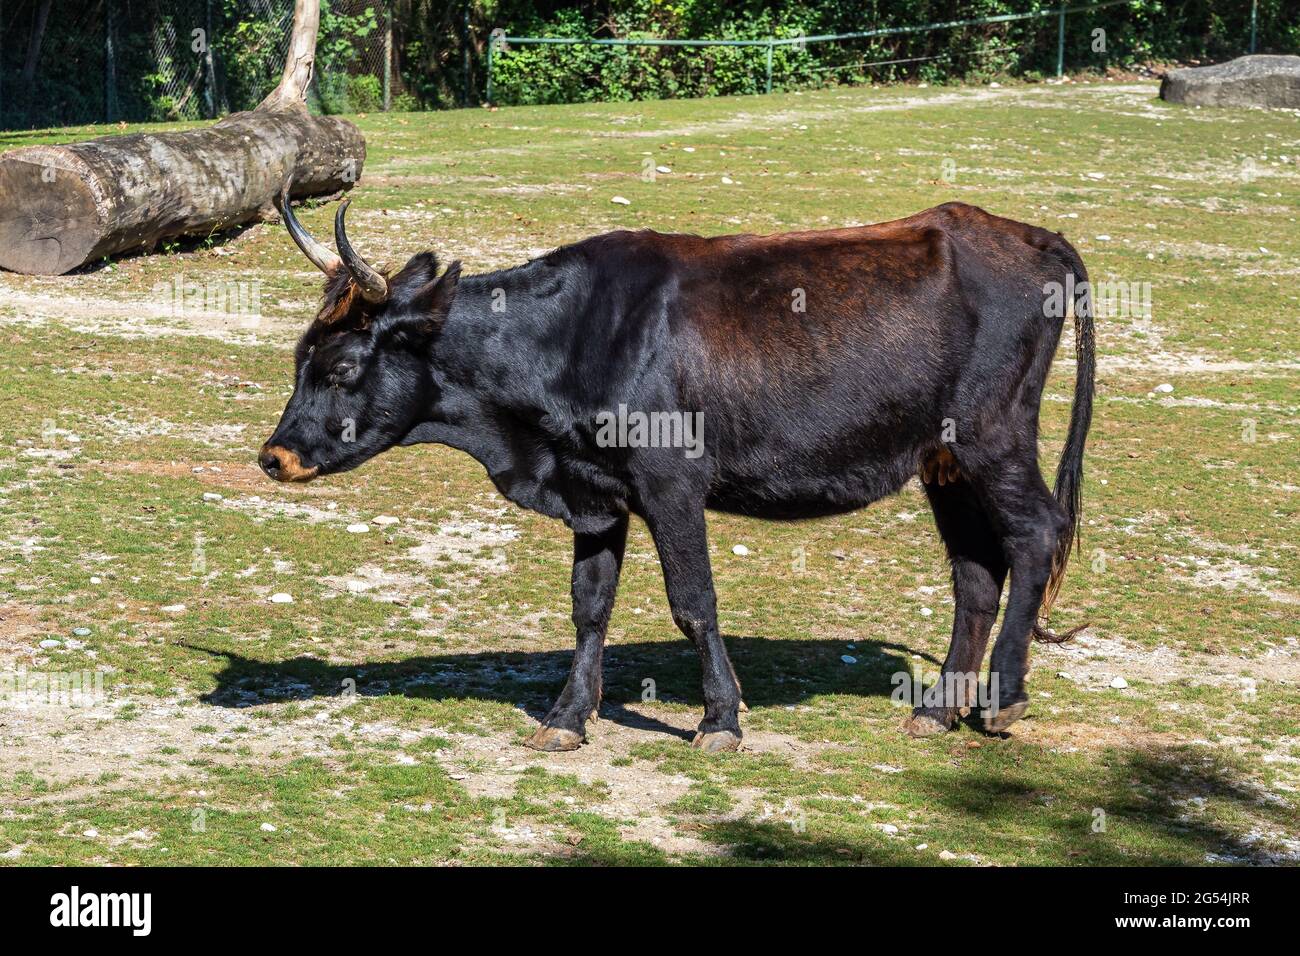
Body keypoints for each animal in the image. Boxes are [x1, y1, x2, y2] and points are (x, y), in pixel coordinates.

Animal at [260, 184, 1094, 753]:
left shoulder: (671, 485)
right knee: (975, 572)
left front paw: (720, 718)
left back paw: (1003, 697)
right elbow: (588, 605)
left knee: (1034, 534)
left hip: (994, 435)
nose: (274, 456)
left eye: (340, 367)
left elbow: (693, 602)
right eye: (300, 358)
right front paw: (567, 718)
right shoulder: (596, 493)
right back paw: (936, 708)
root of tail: (1023, 233)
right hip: (942, 460)